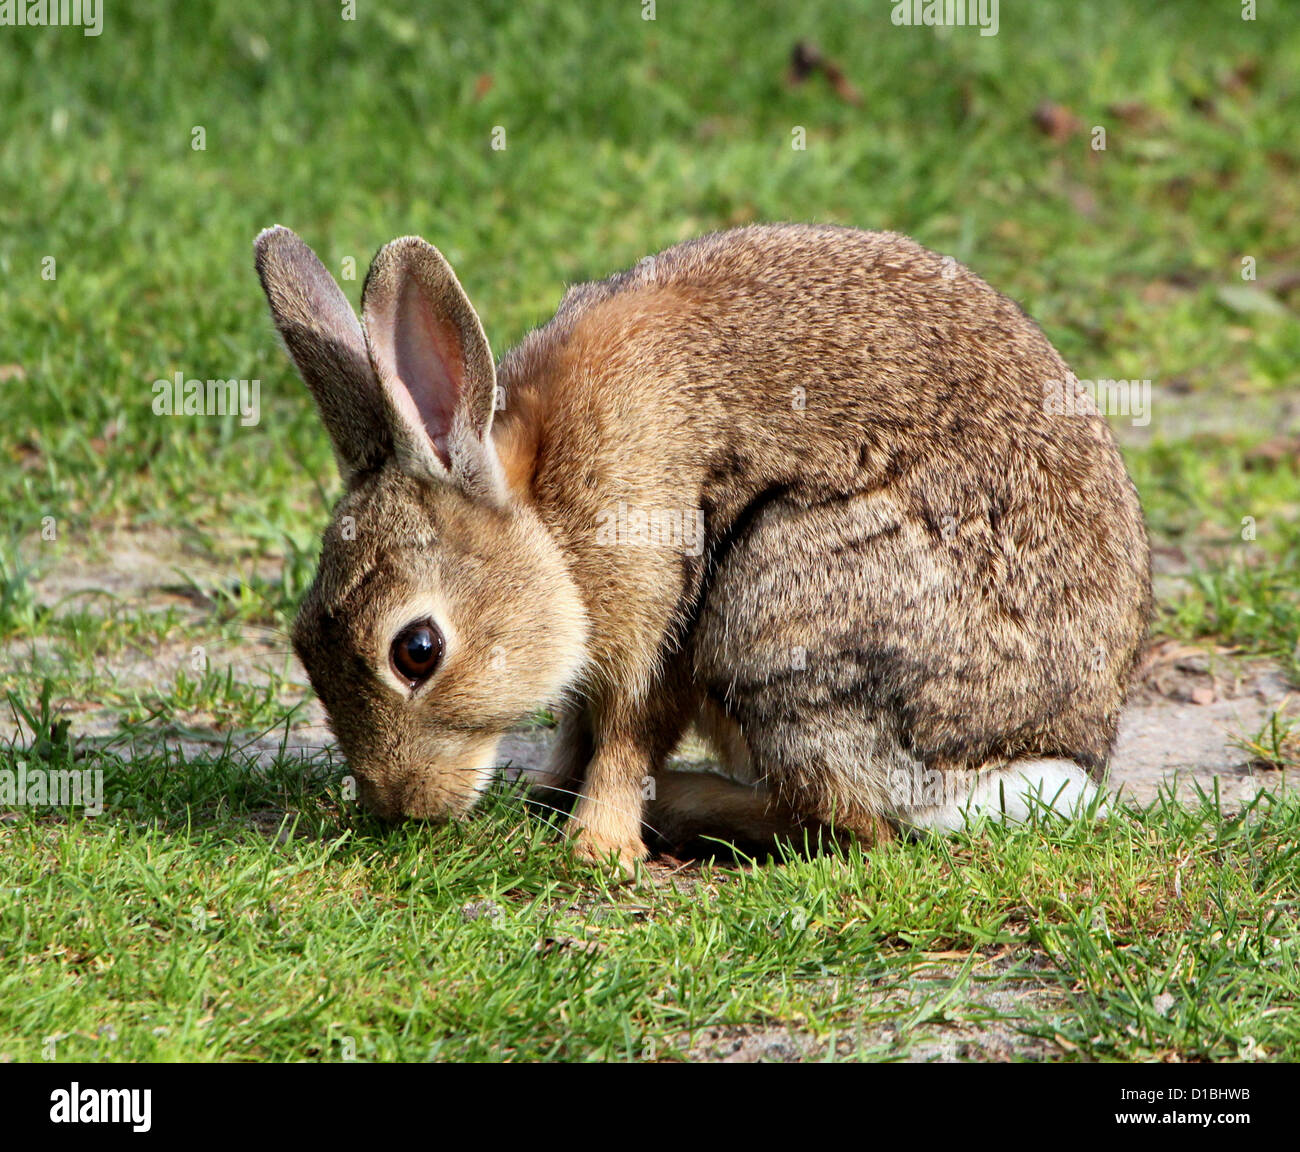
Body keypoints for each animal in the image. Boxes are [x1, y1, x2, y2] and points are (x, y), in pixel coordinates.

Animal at [254, 222, 1151, 871]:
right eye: (301, 644)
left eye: (417, 650)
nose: (399, 805)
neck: (542, 510)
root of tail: (1045, 760)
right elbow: (580, 721)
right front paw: (549, 795)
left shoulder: (656, 595)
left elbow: (628, 731)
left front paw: (595, 849)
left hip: (781, 604)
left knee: (853, 823)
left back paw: (679, 807)